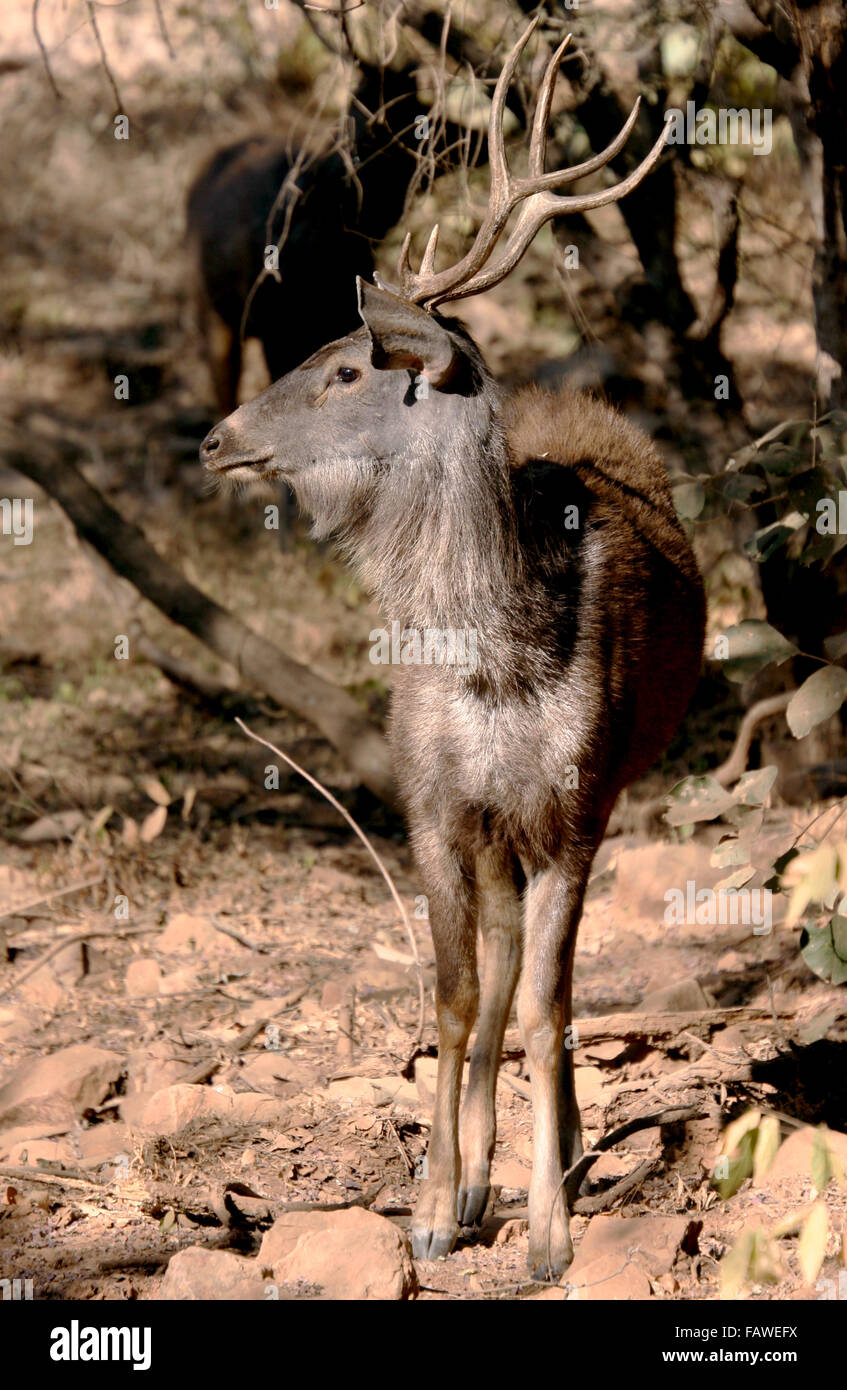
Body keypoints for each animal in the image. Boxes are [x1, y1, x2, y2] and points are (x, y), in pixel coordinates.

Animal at [200, 20, 706, 1281]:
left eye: (345, 366)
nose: (216, 436)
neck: (496, 664)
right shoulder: (428, 801)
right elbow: (451, 997)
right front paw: (434, 1207)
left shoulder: (574, 806)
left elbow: (544, 1006)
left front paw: (552, 1235)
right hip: (486, 830)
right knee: (493, 975)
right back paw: (478, 1183)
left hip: (576, 803)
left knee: (535, 983)